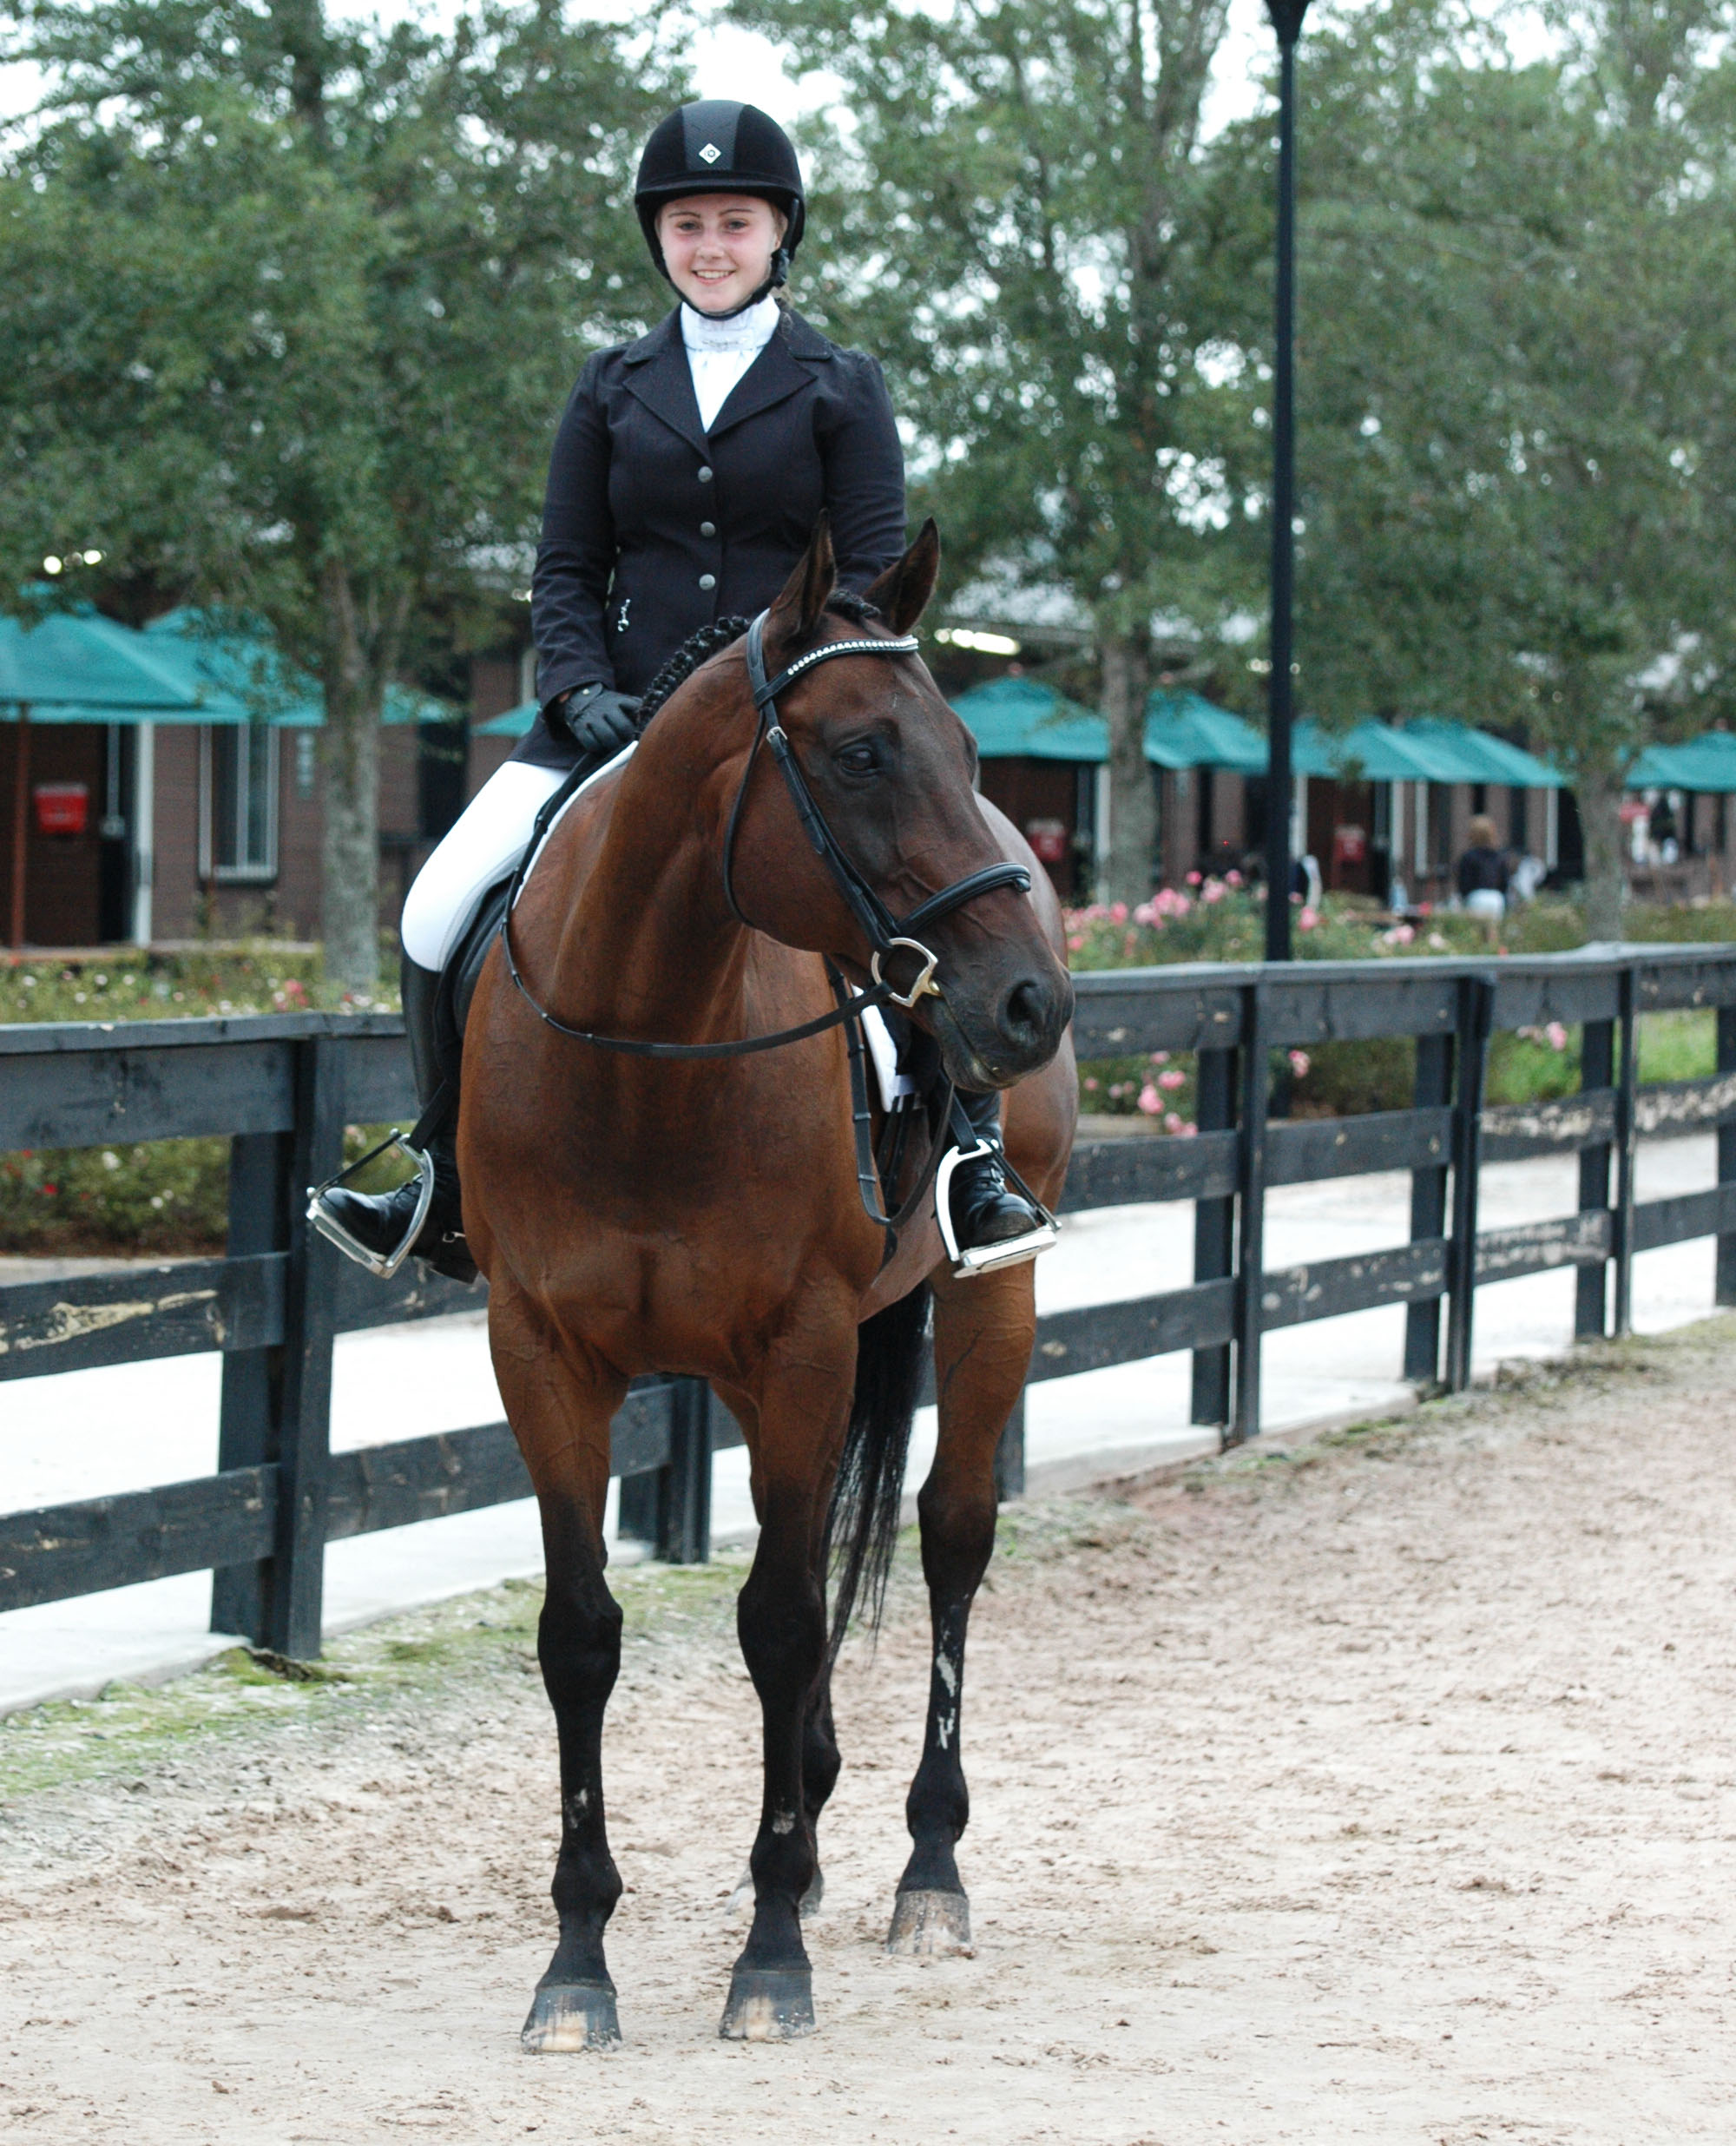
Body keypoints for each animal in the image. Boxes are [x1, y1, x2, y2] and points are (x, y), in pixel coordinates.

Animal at [461, 516, 1077, 2047]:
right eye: (861, 751)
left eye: (970, 748)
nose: (1032, 1005)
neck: (643, 1040)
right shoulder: (541, 1354)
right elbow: (581, 1635)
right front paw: (577, 1964)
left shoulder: (795, 1348)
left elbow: (785, 1618)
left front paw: (772, 1952)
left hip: (984, 1303)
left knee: (951, 1535)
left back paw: (926, 1869)